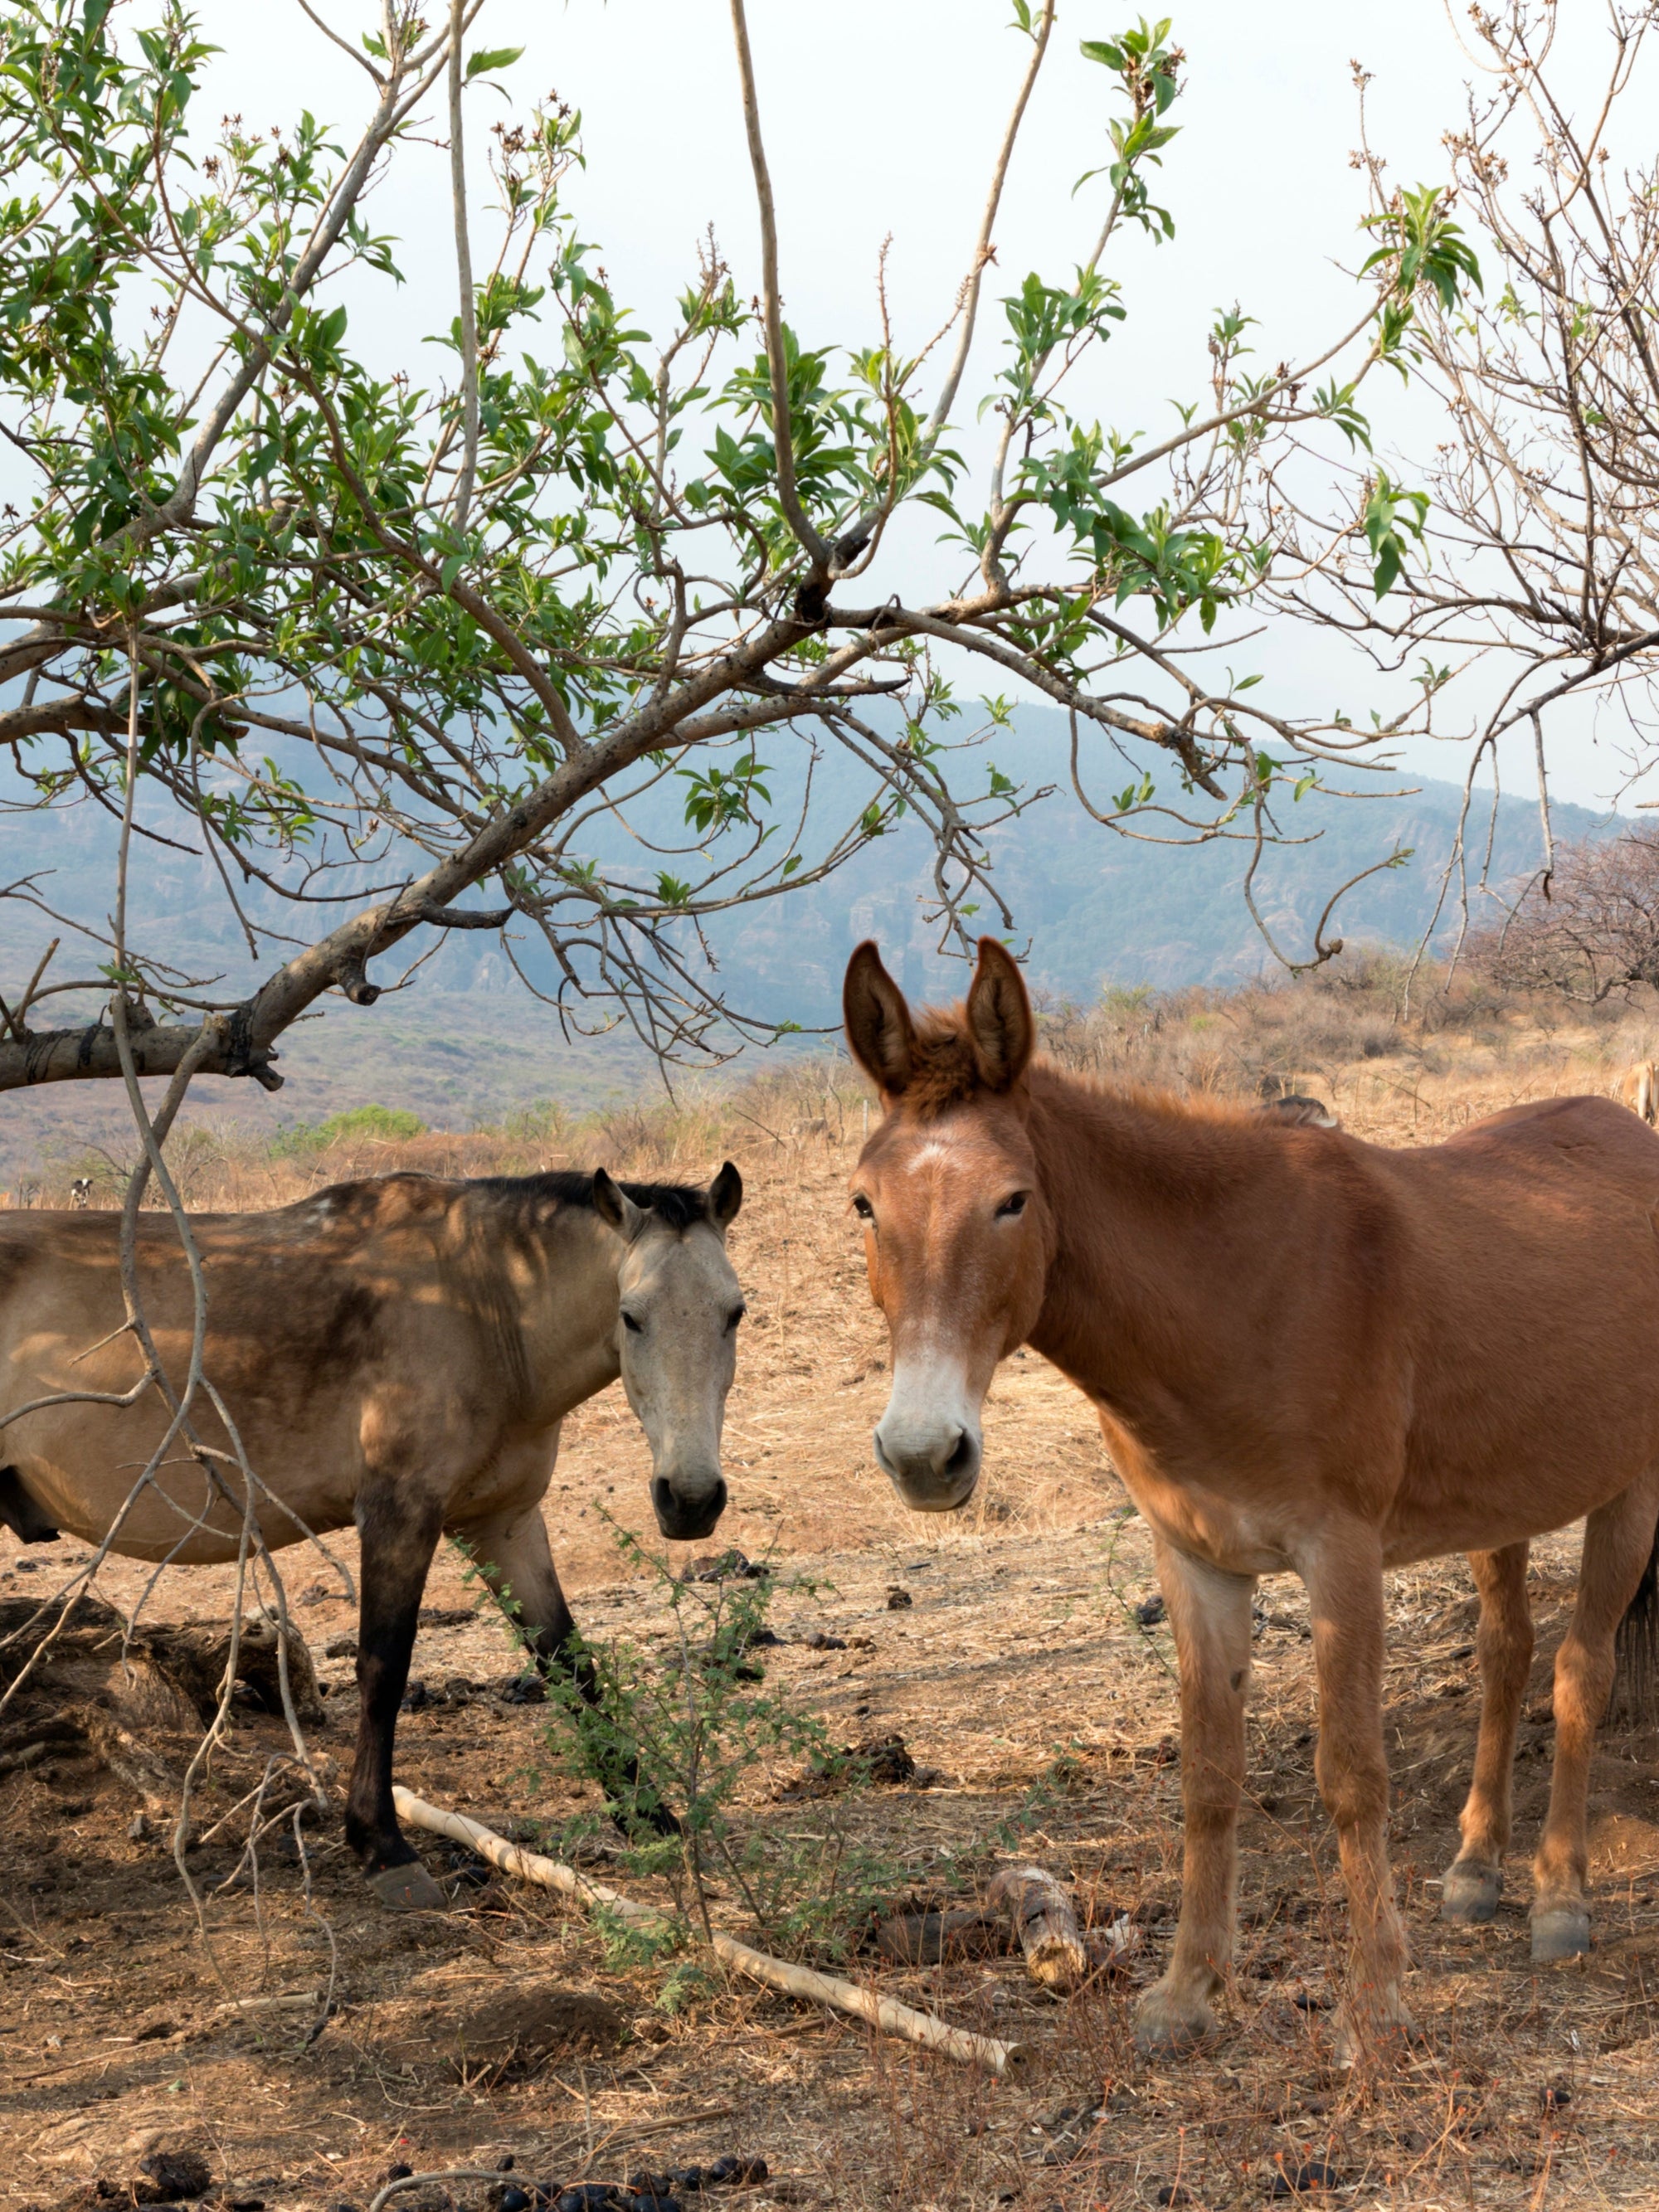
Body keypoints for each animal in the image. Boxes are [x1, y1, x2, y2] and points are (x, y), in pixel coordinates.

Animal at [0, 1162, 745, 1908]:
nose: (690, 1499)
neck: (481, 1303)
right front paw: (382, 1844)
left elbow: (568, 1660)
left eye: (734, 1312)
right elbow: (384, 1670)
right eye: (631, 1315)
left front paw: (649, 1815)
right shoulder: (398, 1514)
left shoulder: (504, 1523)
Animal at [841, 937, 1659, 2059]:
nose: (925, 1455)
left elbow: (1351, 1776)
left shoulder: (1339, 1555)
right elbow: (1208, 1778)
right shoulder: (1196, 1562)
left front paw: (1375, 2002)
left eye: (1010, 1200)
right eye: (863, 1205)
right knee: (1506, 1654)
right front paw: (1187, 1991)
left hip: (1629, 1487)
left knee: (1580, 1672)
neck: (1232, 1295)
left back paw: (1558, 1898)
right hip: (1502, 1497)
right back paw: (1474, 1869)